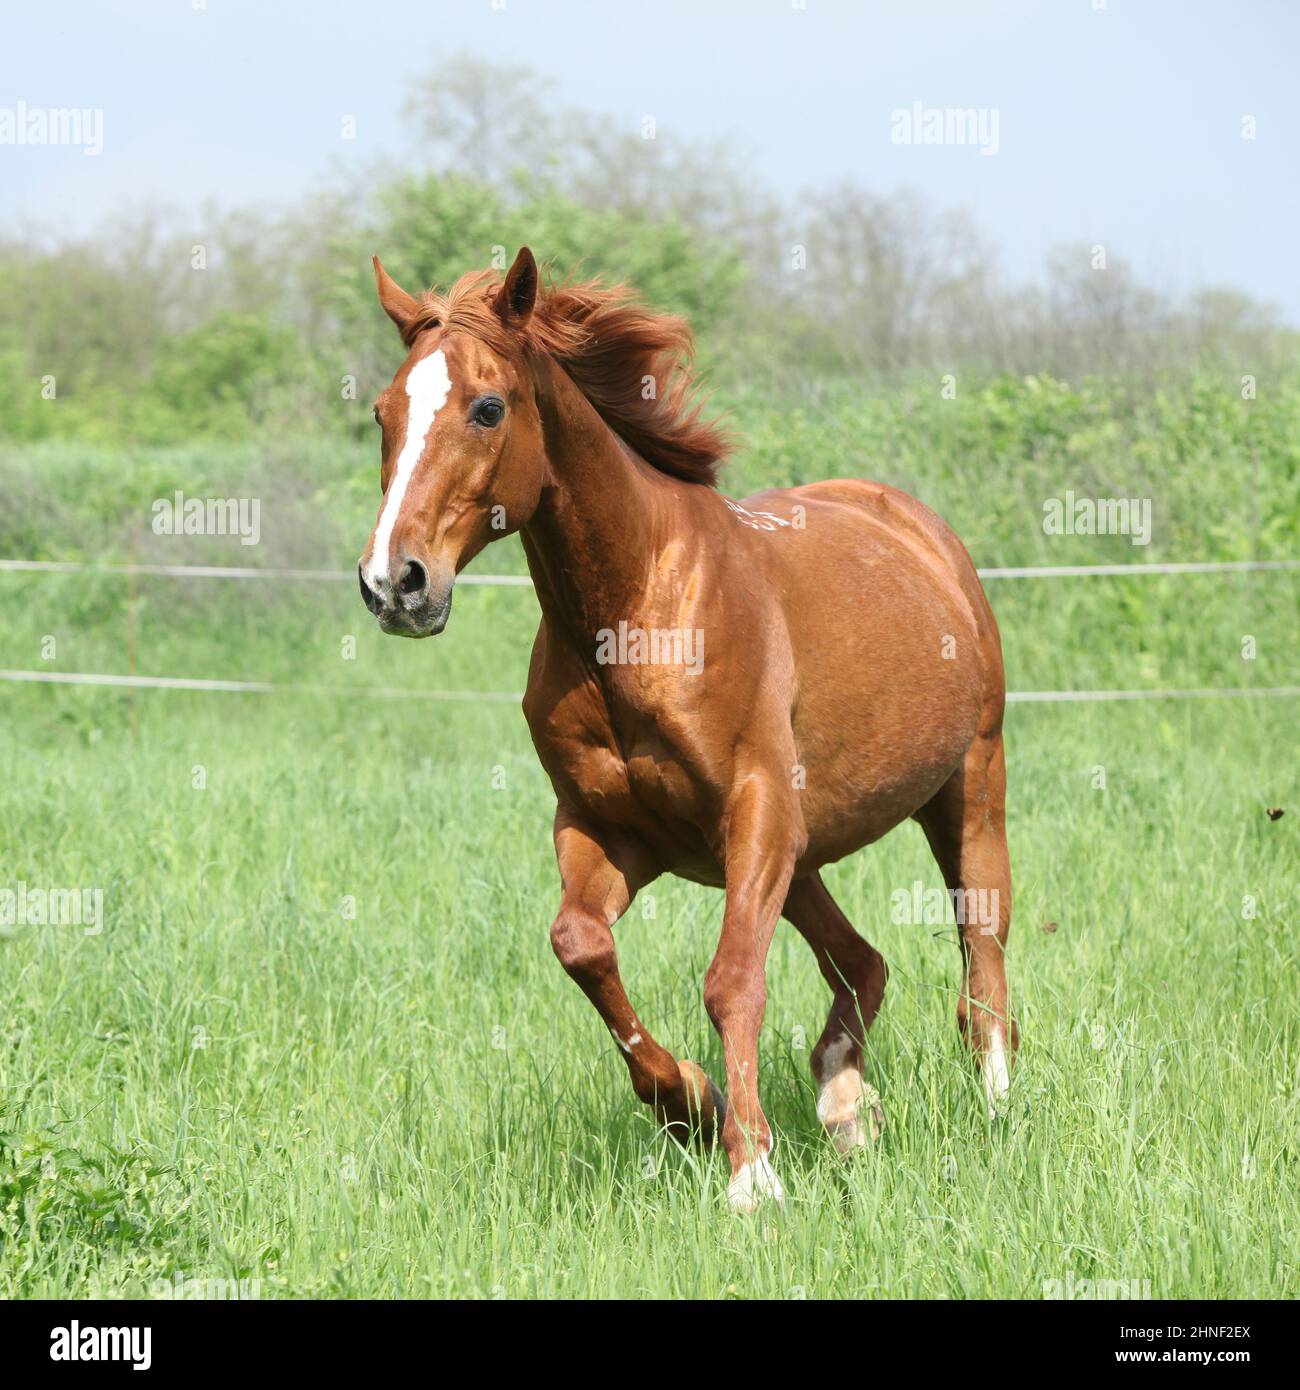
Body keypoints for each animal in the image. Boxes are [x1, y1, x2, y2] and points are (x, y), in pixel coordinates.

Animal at [357, 247, 1015, 1212]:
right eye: (383, 412)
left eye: (487, 408)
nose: (393, 585)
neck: (634, 615)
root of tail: (917, 527)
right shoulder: (610, 833)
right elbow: (581, 946)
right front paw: (691, 1108)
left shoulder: (755, 812)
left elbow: (732, 981)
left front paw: (753, 1173)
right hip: (801, 850)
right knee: (863, 962)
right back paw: (844, 1103)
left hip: (964, 787)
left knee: (981, 945)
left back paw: (998, 1100)